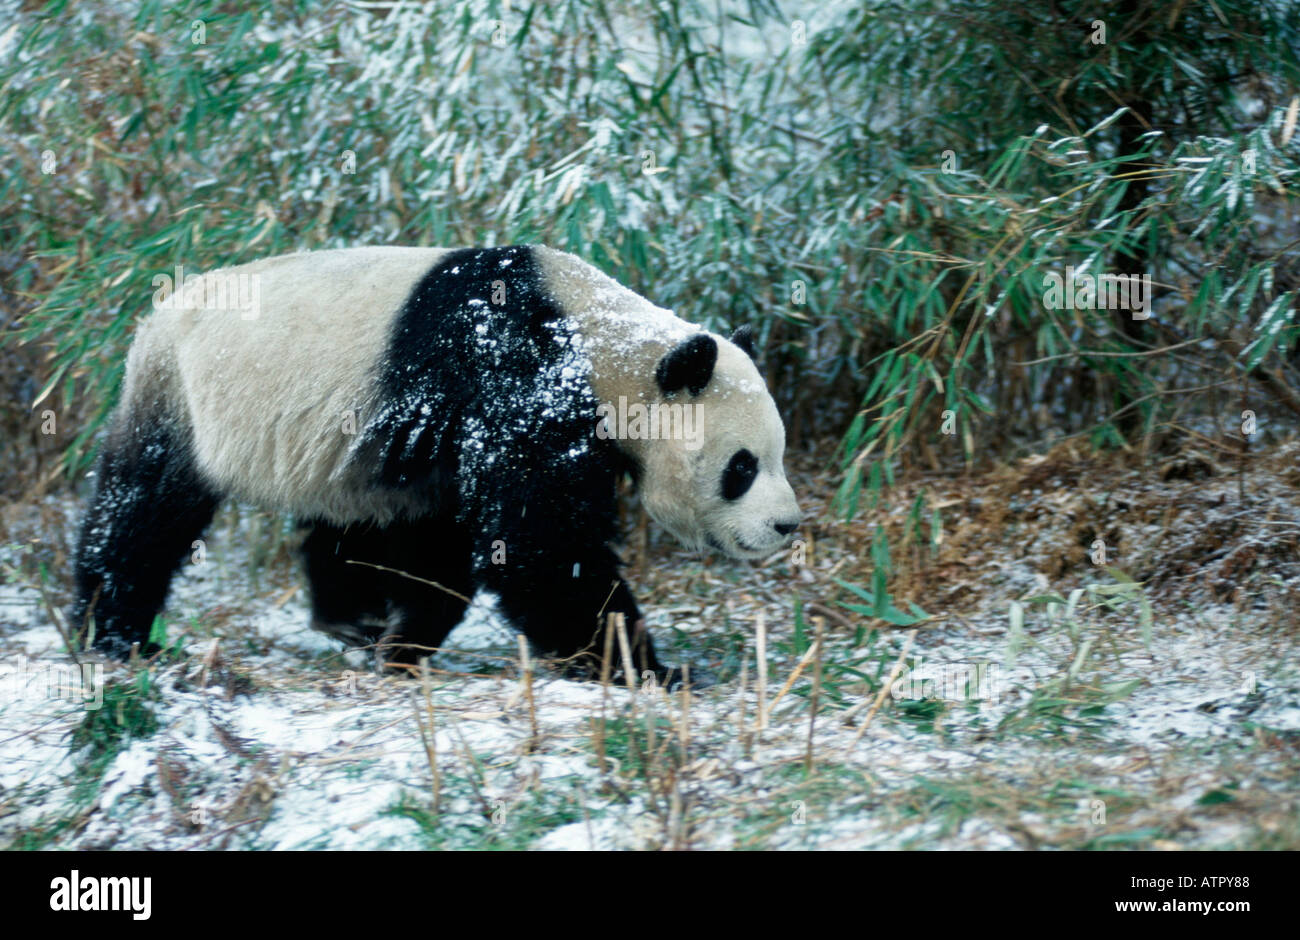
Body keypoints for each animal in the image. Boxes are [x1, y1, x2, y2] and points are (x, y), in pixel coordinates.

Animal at [70, 245, 801, 682]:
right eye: (742, 467)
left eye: (778, 455)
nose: (787, 526)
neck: (603, 345)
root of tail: (159, 312)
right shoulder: (512, 373)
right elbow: (538, 545)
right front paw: (643, 667)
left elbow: (453, 540)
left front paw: (405, 645)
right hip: (181, 396)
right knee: (143, 509)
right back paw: (115, 633)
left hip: (336, 442)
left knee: (345, 521)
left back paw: (353, 618)